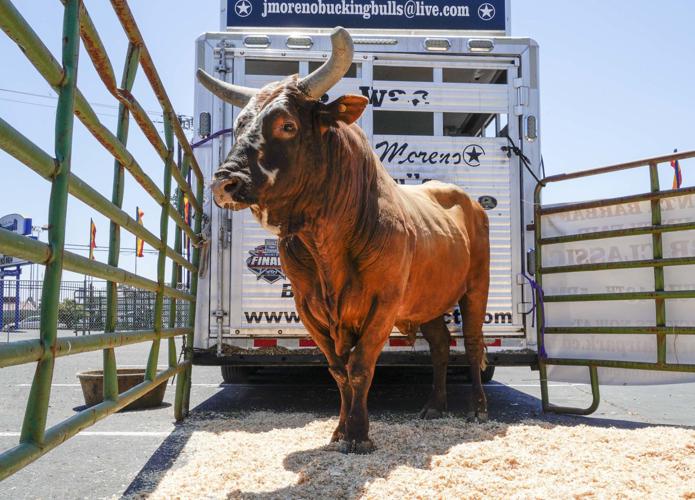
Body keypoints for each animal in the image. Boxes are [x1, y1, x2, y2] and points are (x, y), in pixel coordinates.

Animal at [198, 27, 490, 454]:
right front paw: (339, 432)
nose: (224, 183)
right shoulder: (310, 307)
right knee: (438, 345)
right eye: (238, 125)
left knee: (471, 344)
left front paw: (359, 436)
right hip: (428, 300)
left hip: (476, 287)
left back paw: (479, 411)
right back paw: (434, 407)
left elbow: (360, 367)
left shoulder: (383, 303)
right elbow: (338, 369)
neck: (327, 242)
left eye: (287, 124)